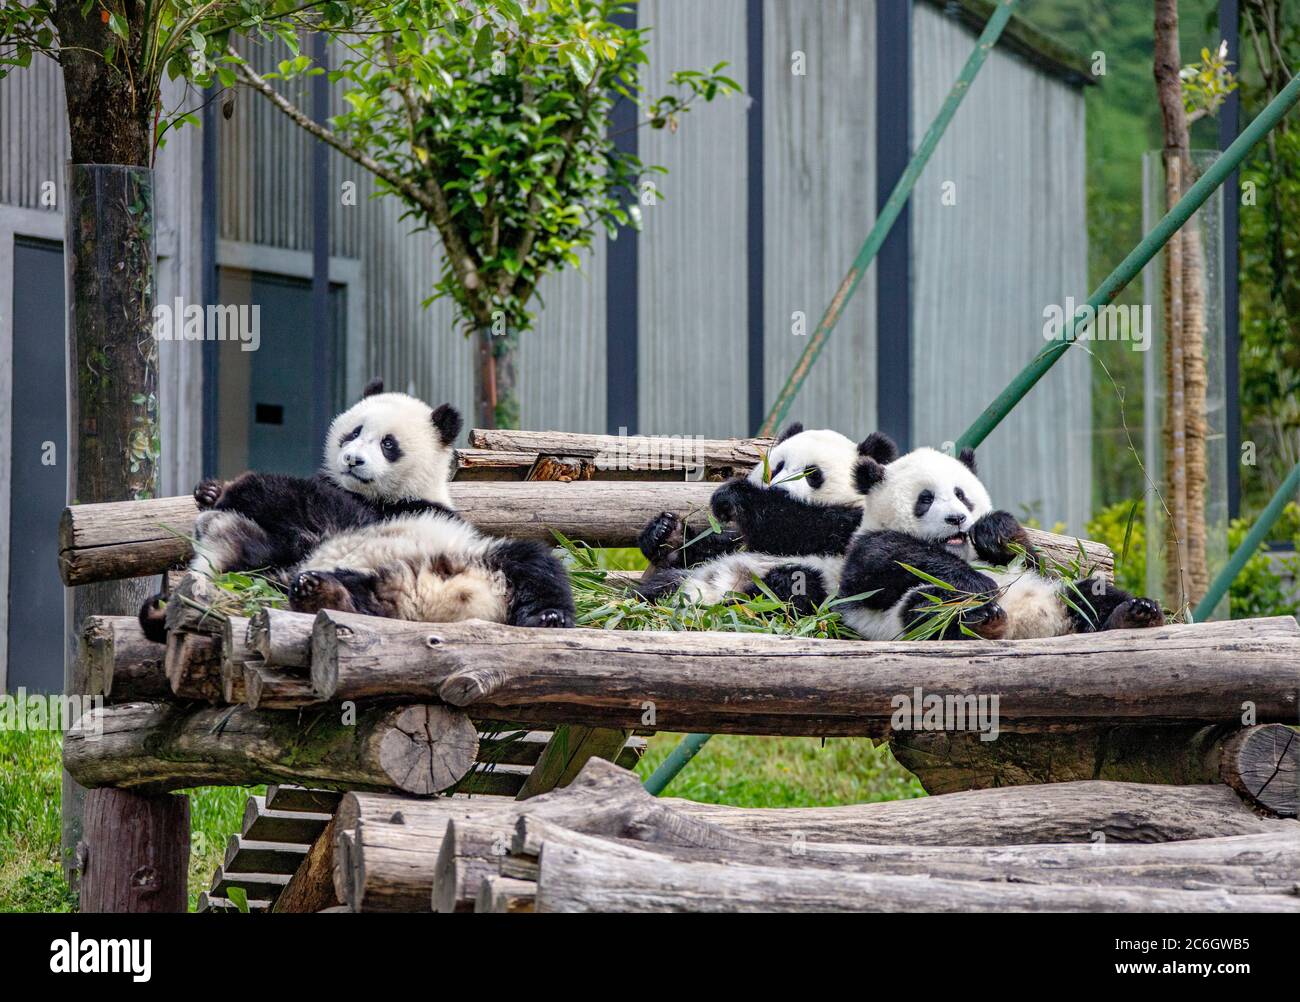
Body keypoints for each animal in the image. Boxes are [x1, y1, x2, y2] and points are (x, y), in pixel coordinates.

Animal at [139, 379, 574, 639]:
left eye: (388, 444)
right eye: (354, 431)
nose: (352, 460)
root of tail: (436, 603)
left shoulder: (396, 510)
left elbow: (297, 496)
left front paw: (230, 490)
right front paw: (210, 492)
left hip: (475, 556)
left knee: (536, 564)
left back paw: (548, 617)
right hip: (363, 577)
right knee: (353, 597)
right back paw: (326, 595)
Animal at [631, 424, 897, 613]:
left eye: (813, 474)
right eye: (777, 467)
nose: (779, 489)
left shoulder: (853, 525)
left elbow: (801, 528)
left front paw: (733, 495)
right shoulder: (740, 541)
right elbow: (714, 545)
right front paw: (666, 533)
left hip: (819, 579)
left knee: (791, 593)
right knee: (662, 585)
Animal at [836, 436, 1165, 641]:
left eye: (961, 494)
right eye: (925, 499)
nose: (956, 519)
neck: (961, 552)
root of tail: (1034, 626)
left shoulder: (1025, 567)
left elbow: (1032, 560)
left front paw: (994, 531)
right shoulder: (862, 554)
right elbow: (886, 559)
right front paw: (981, 582)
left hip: (1057, 592)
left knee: (1092, 593)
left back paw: (1136, 613)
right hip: (909, 616)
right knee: (928, 604)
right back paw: (983, 622)